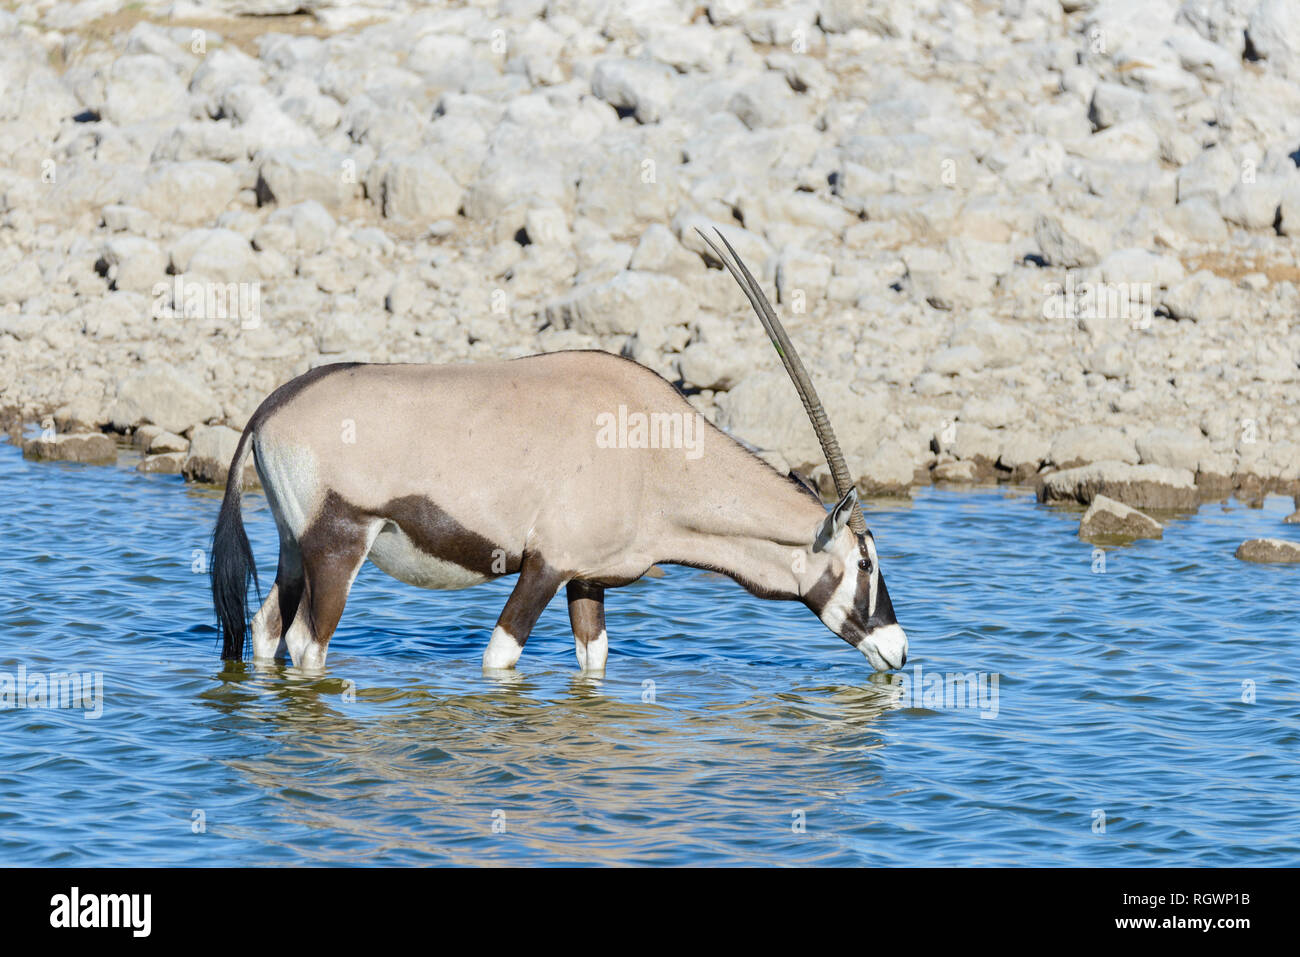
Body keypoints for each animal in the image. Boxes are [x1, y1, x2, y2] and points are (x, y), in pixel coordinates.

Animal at [210, 230, 908, 674]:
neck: (654, 455)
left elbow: (593, 662)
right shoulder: (545, 566)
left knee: (268, 632)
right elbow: (500, 657)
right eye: (866, 562)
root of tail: (269, 409)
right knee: (308, 643)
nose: (899, 651)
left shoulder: (588, 578)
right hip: (338, 545)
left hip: (294, 547)